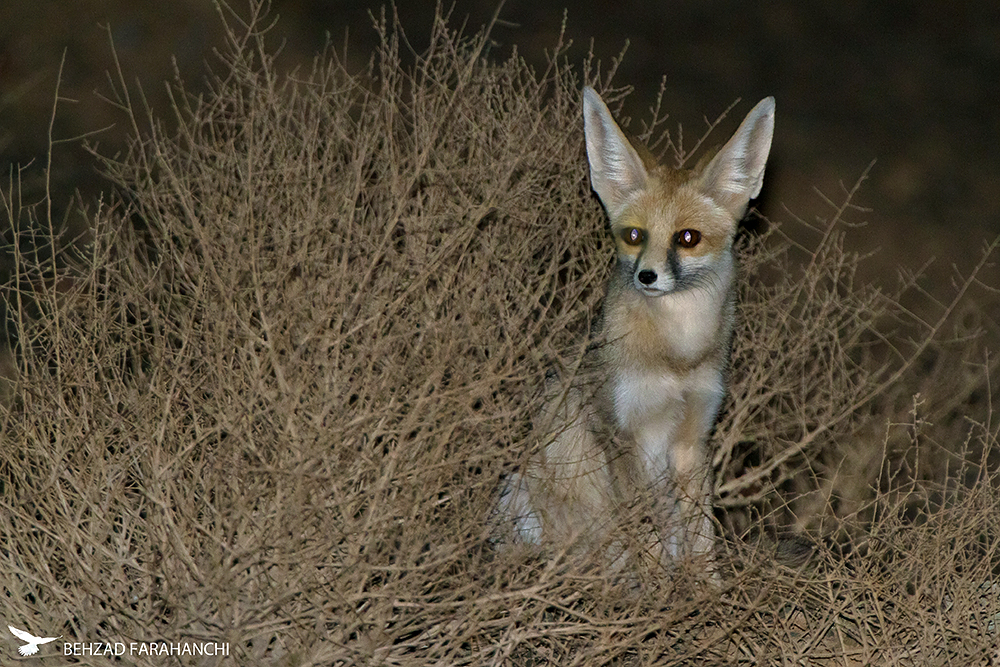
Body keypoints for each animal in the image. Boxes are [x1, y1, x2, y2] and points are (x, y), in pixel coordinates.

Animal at [497, 87, 775, 570]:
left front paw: (705, 588)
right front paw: (658, 589)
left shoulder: (694, 438)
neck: (678, 356)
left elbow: (701, 539)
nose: (647, 277)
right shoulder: (621, 434)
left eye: (687, 238)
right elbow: (647, 539)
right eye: (633, 236)